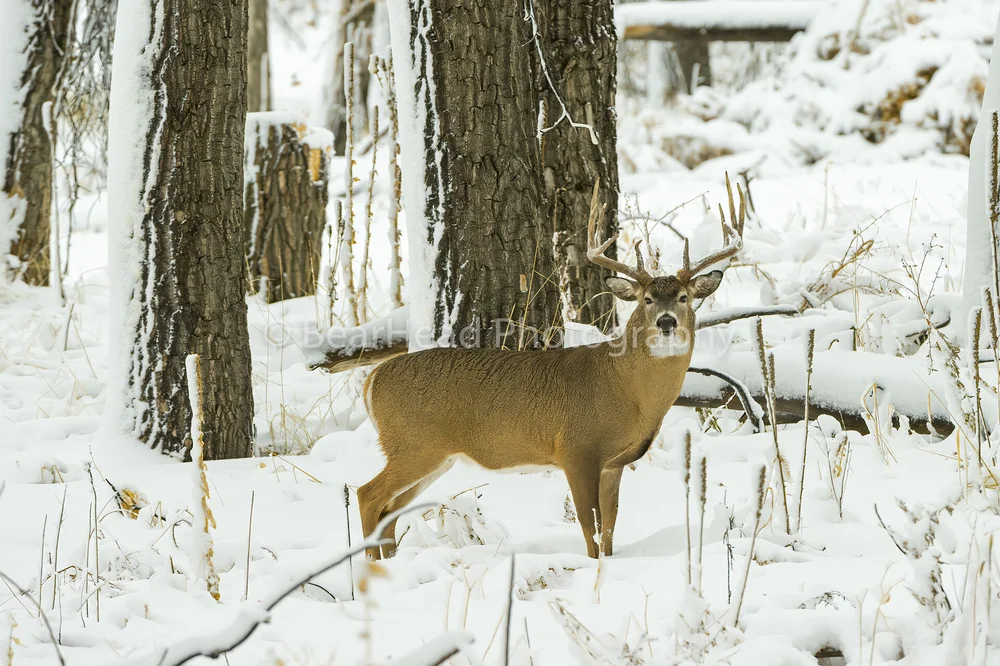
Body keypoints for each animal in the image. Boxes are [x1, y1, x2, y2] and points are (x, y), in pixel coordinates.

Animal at [358, 179, 746, 560]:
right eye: (646, 299)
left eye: (684, 297)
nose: (666, 322)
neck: (627, 390)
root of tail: (372, 380)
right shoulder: (576, 449)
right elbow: (590, 526)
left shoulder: (614, 463)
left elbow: (610, 527)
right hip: (413, 444)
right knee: (368, 495)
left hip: (433, 455)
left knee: (389, 511)